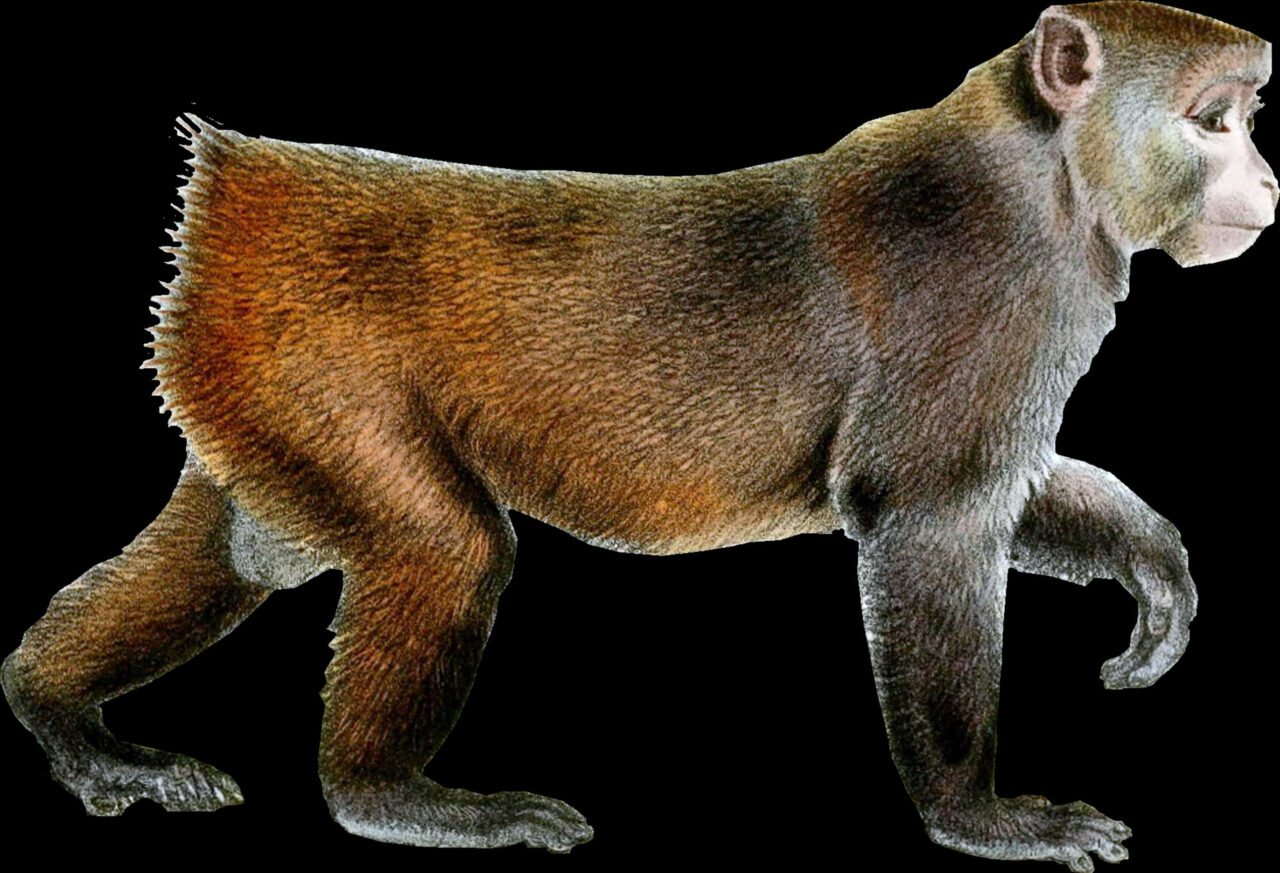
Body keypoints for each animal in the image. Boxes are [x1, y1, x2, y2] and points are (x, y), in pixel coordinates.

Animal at [3, 3, 1273, 869]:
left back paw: (59, 714)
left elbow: (991, 495)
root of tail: (245, 184)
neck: (1045, 172)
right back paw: (388, 795)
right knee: (443, 548)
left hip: (243, 378)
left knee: (234, 553)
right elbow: (927, 518)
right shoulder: (995, 286)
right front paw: (979, 816)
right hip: (303, 361)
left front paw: (1154, 568)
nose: (1264, 180)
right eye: (1213, 121)